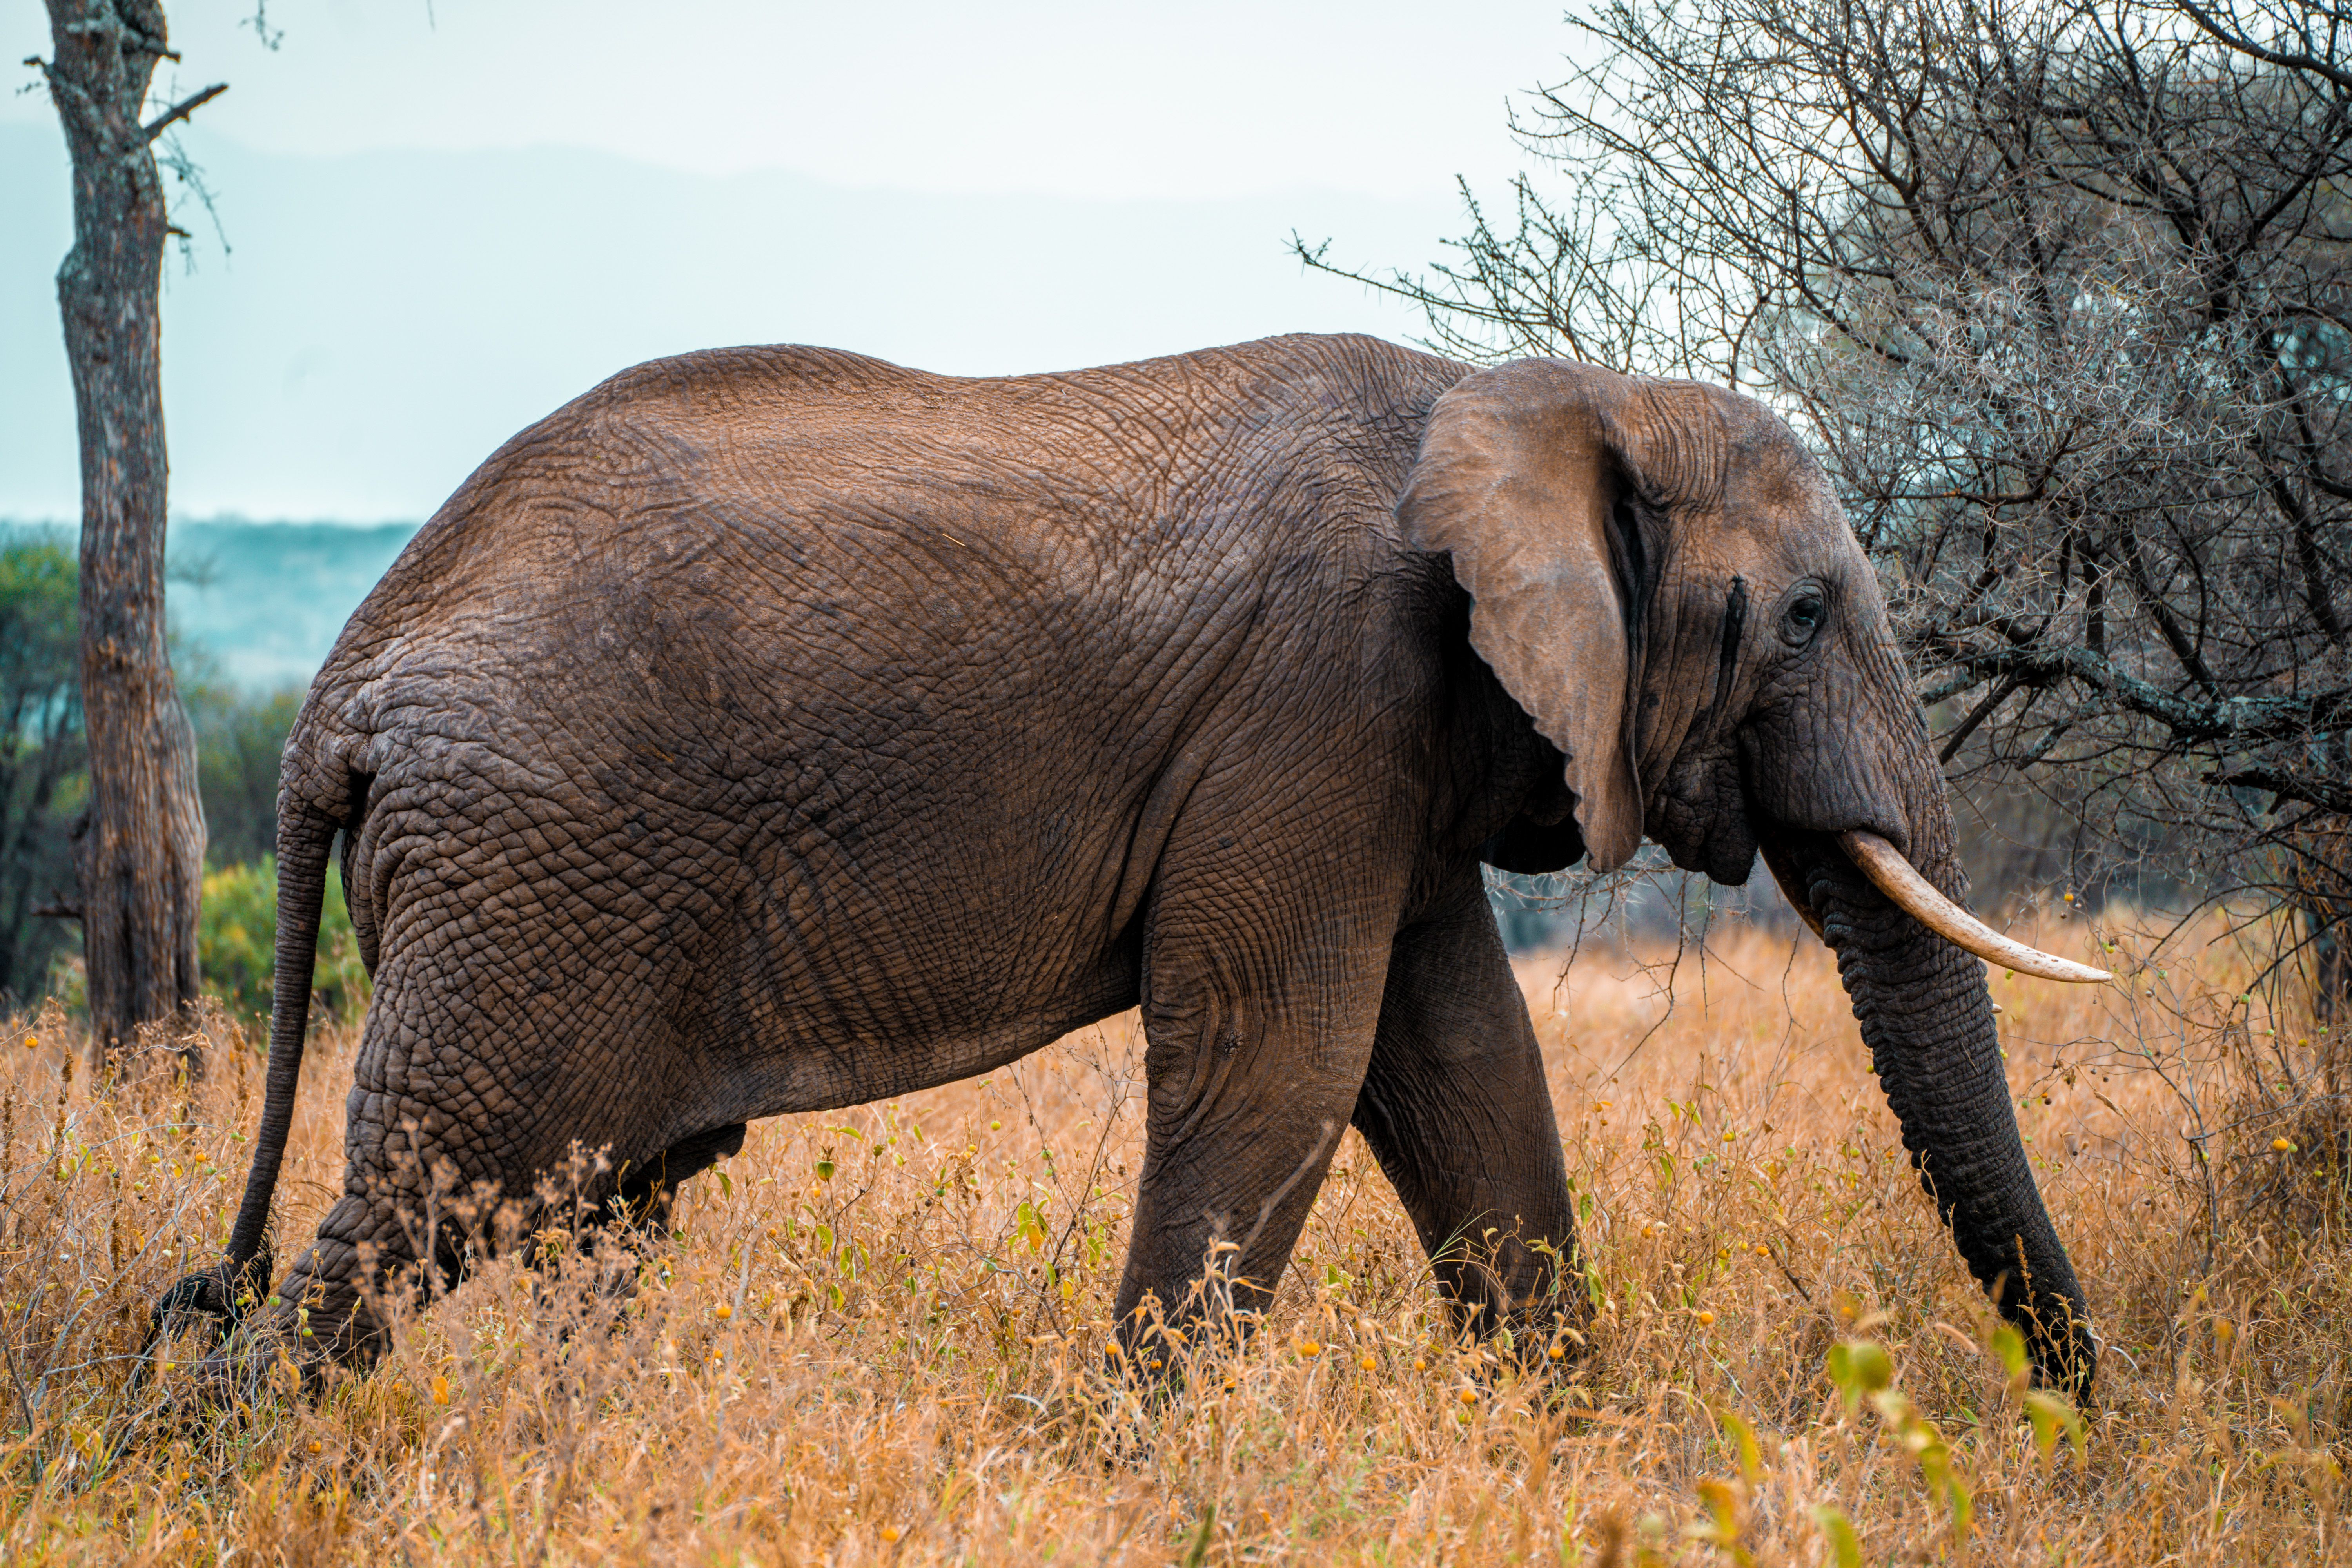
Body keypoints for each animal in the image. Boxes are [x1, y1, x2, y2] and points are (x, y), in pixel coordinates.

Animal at [164, 333, 2102, 1392]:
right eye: (1802, 614)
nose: (2082, 1409)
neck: (1547, 395)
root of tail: (341, 685)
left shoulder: (1392, 745)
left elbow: (1464, 1071)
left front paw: (1575, 1440)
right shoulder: (1321, 694)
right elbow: (1282, 1056)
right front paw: (1141, 1461)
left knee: (589, 1202)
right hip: (532, 869)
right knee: (432, 1196)